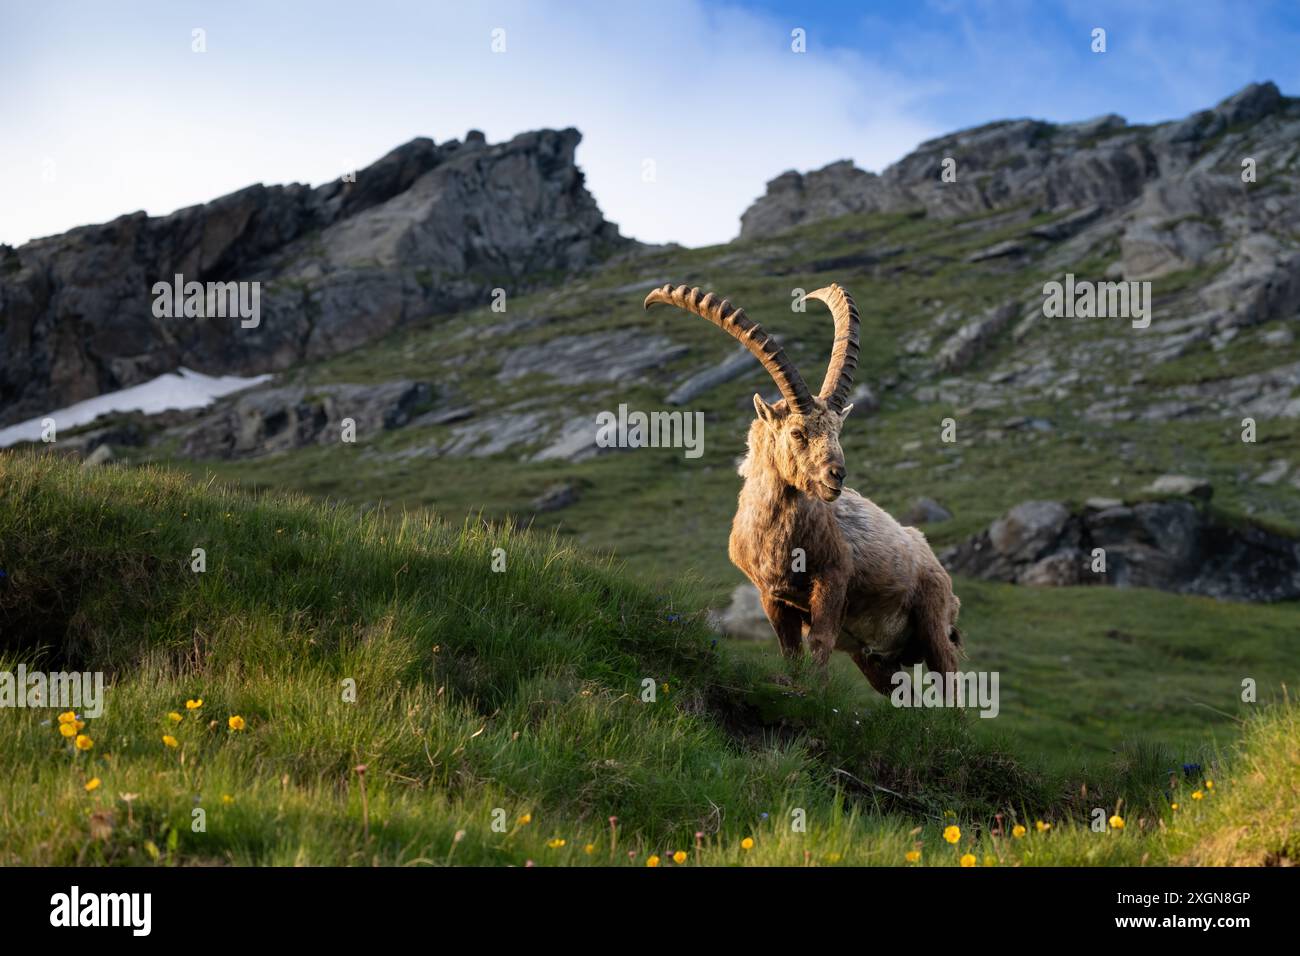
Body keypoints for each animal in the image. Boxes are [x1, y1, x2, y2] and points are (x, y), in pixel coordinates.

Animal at [644, 283, 962, 696]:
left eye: (837, 431)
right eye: (797, 432)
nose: (836, 475)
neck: (779, 539)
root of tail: (930, 556)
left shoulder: (833, 578)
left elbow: (820, 641)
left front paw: (818, 693)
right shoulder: (772, 596)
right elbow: (791, 650)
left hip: (933, 621)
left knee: (951, 684)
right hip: (875, 657)